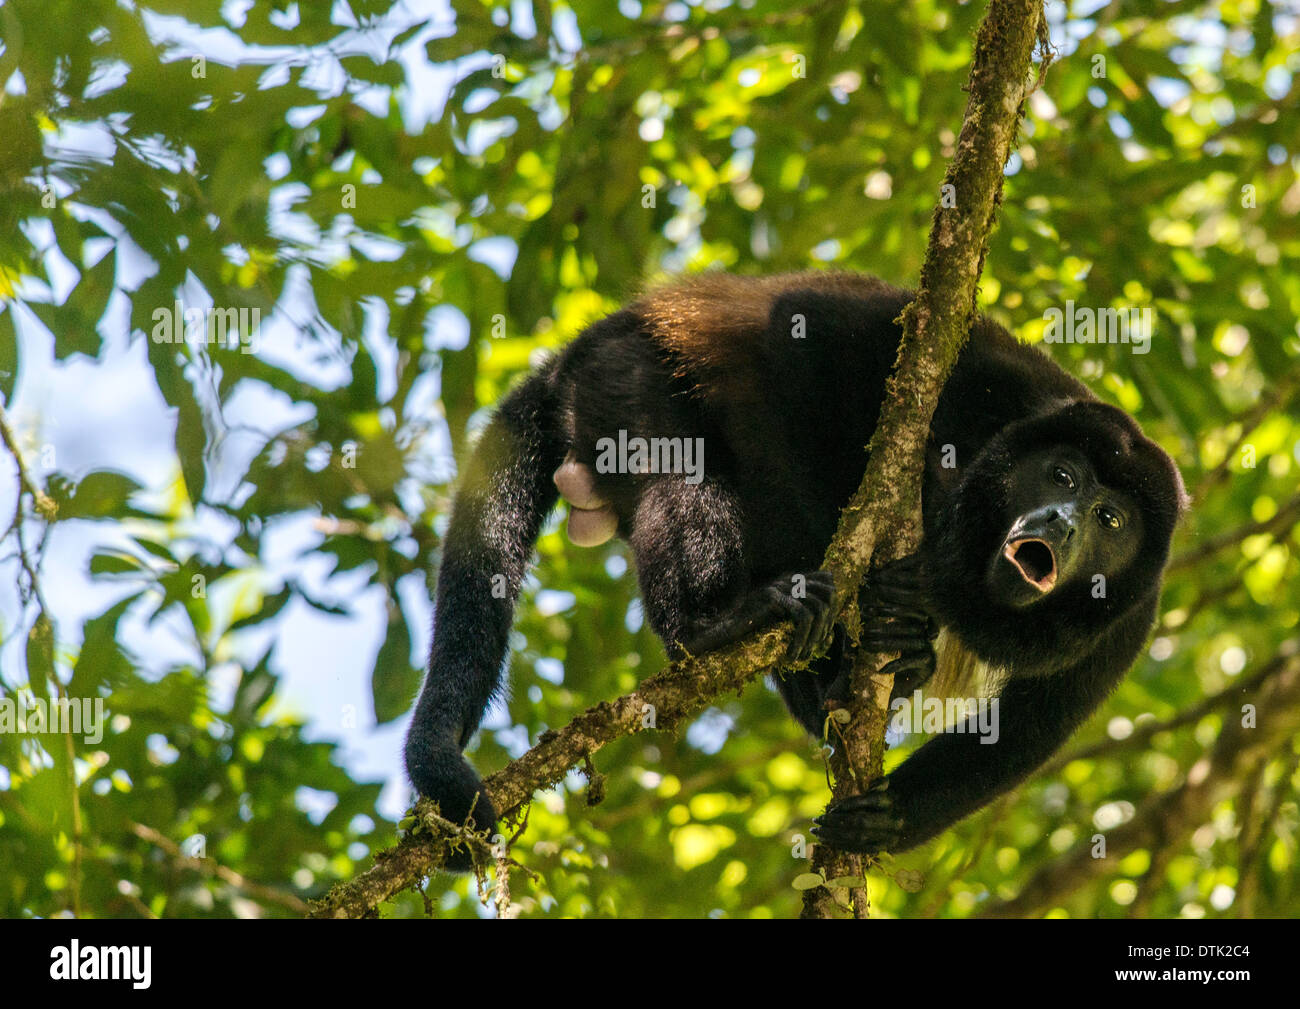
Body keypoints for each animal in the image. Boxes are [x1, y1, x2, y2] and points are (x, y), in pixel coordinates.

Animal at [403, 270, 1186, 865]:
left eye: (1110, 519)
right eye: (1060, 475)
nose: (1059, 521)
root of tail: (577, 350)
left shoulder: (1127, 620)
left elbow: (1027, 735)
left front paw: (888, 817)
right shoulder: (986, 379)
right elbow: (813, 333)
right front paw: (883, 597)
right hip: (623, 374)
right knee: (686, 468)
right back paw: (717, 624)